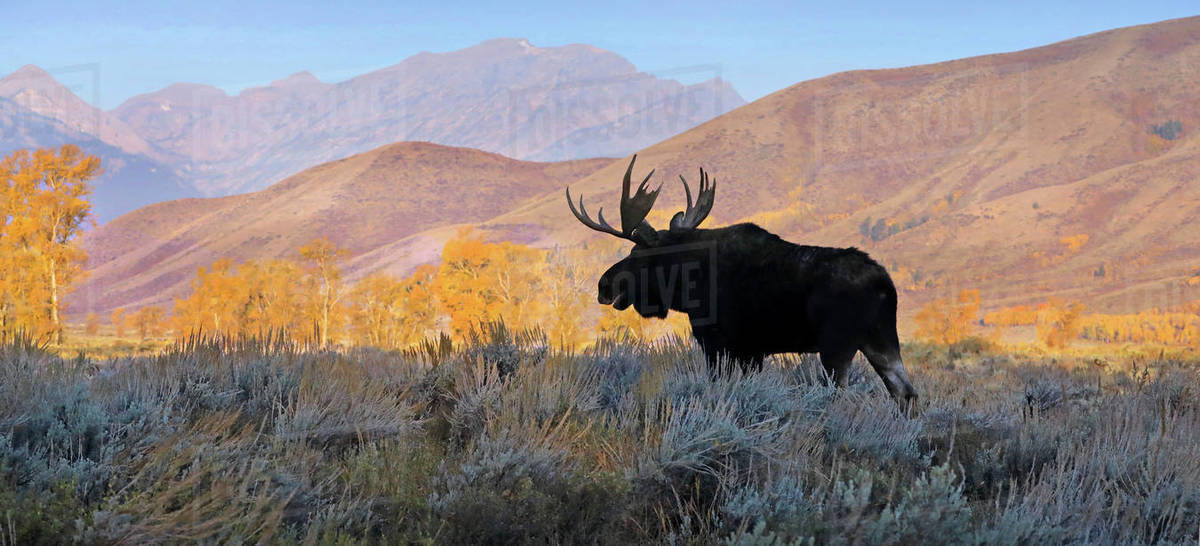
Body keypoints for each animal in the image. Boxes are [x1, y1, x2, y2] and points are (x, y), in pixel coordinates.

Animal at [566, 155, 918, 408]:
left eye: (637, 253)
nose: (603, 285)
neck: (688, 285)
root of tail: (884, 284)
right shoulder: (752, 350)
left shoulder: (717, 342)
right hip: (880, 338)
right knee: (906, 392)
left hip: (837, 345)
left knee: (843, 396)